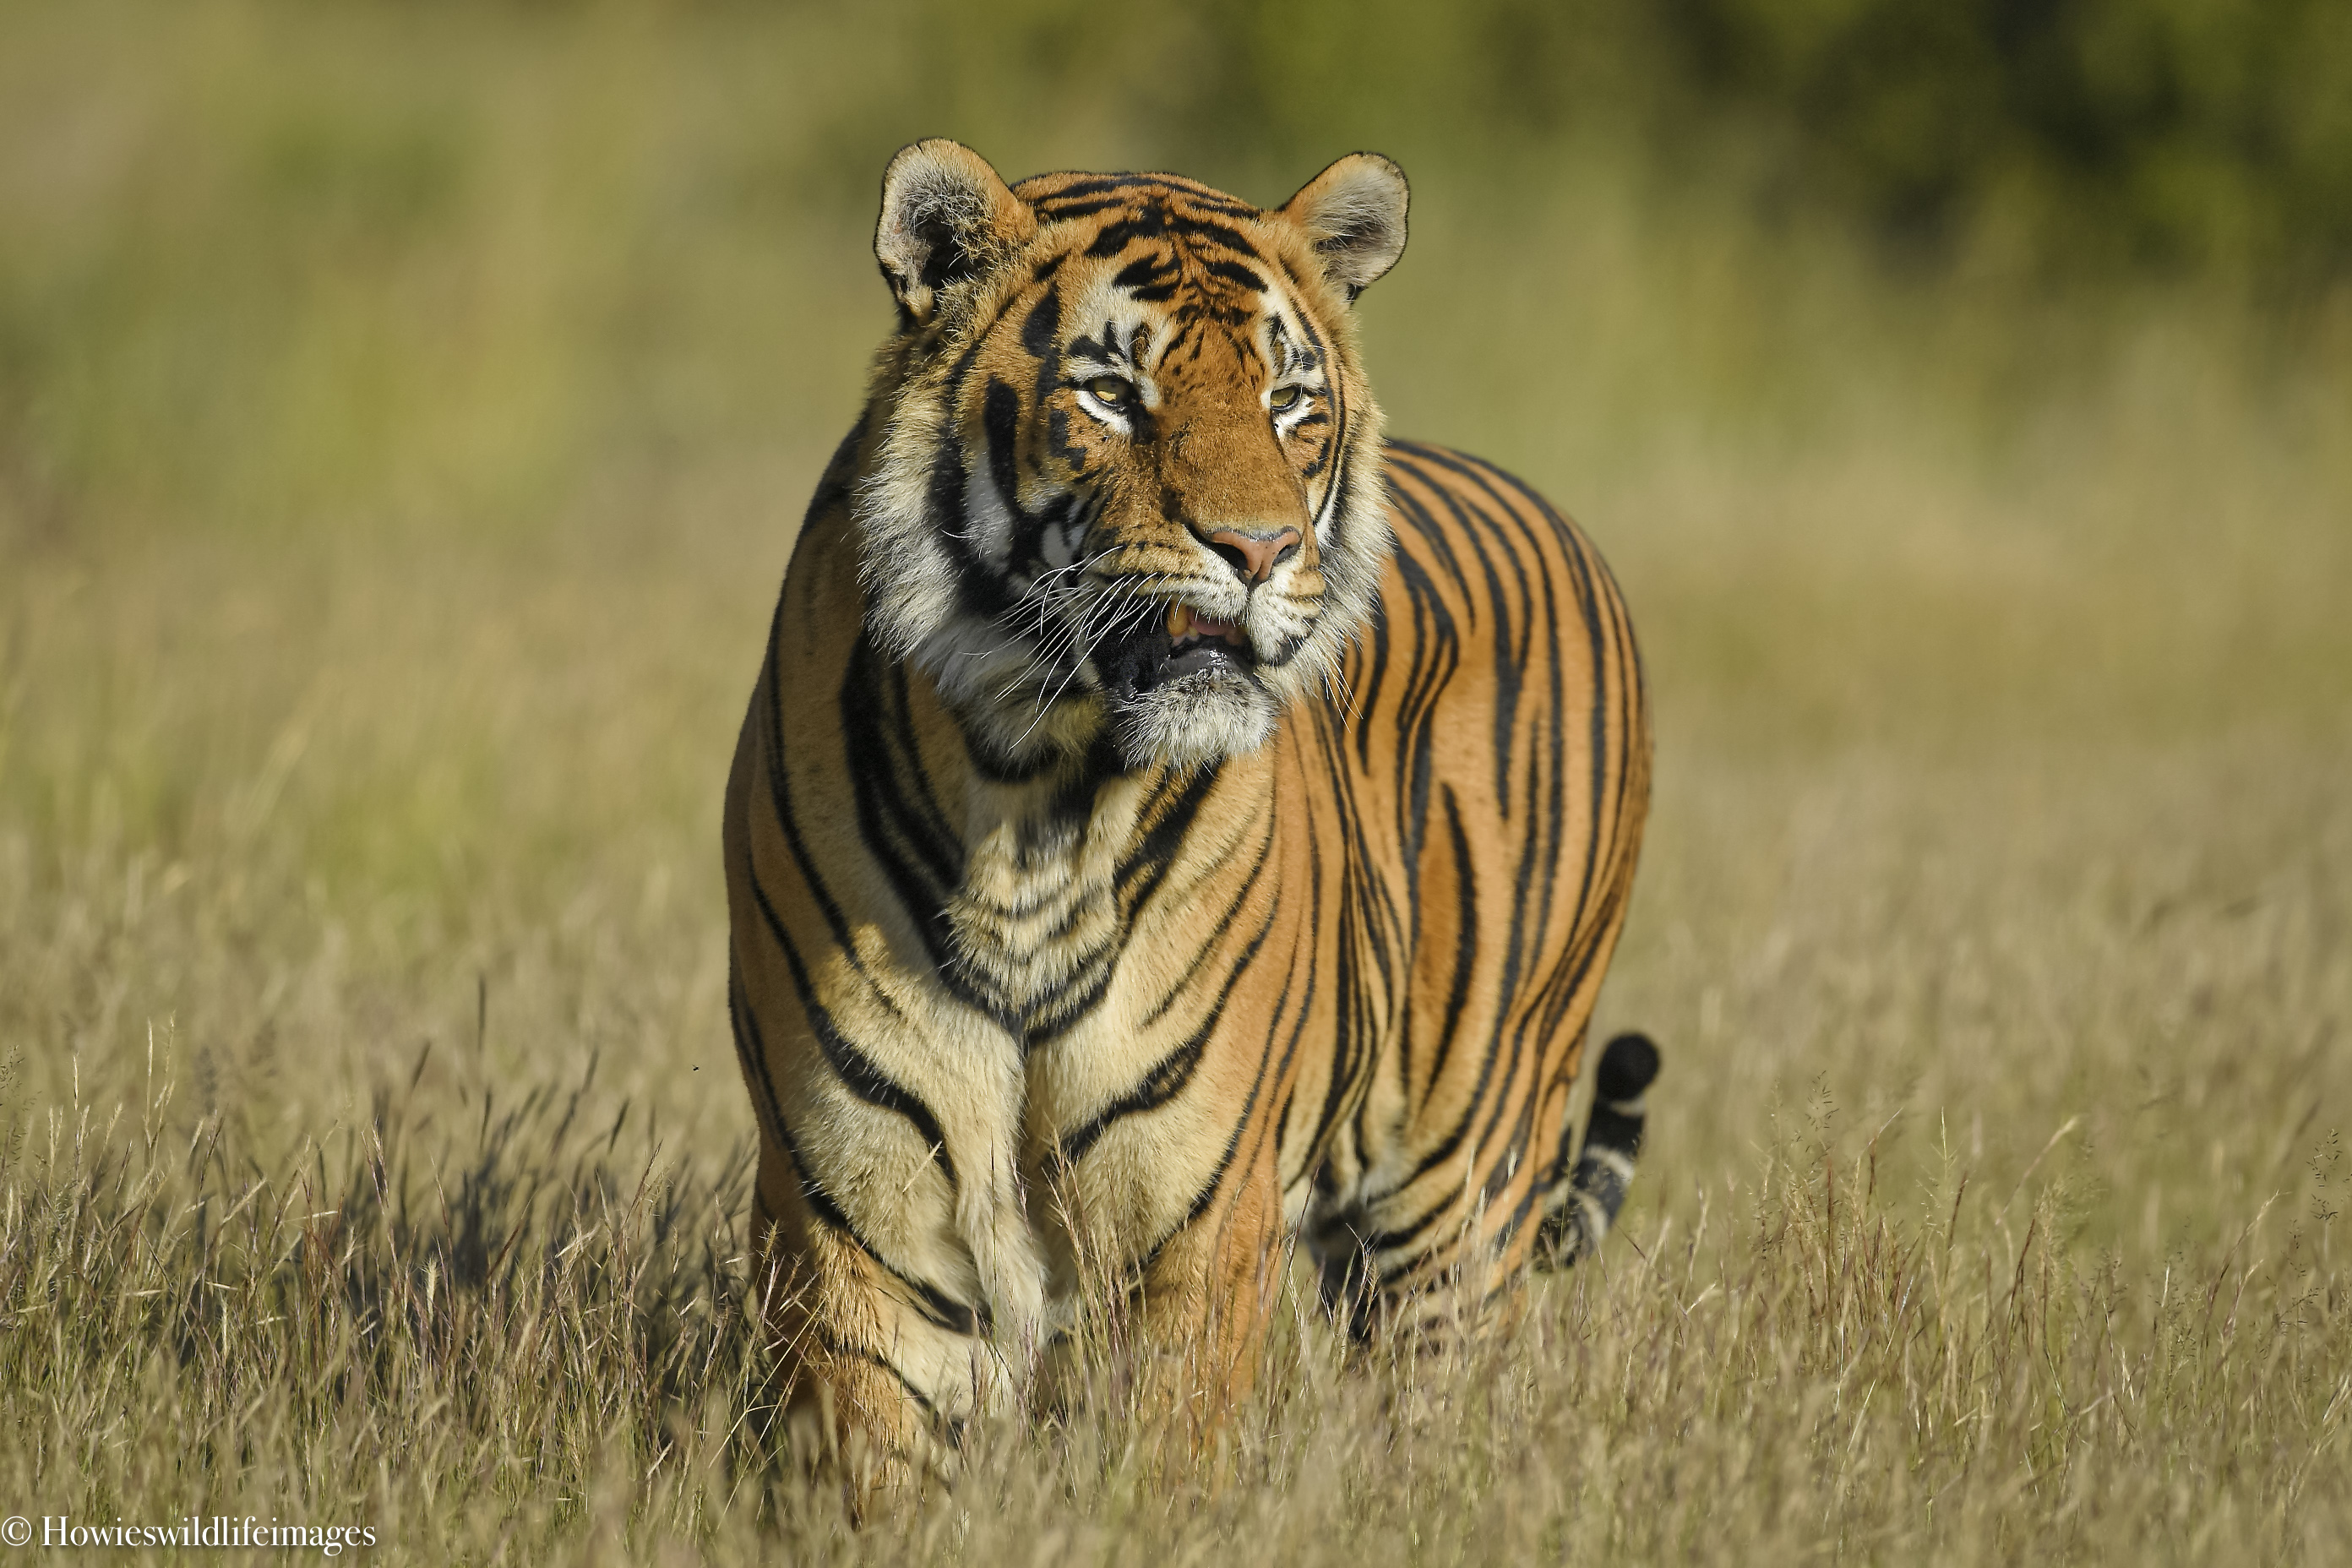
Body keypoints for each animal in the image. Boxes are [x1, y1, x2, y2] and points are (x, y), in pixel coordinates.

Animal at [722, 139, 1657, 1488]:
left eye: (1289, 401)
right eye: (1113, 394)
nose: (1259, 550)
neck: (1035, 797)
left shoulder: (1194, 1213)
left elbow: (1160, 1459)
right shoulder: (852, 1202)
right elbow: (874, 1459)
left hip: (1463, 1188)